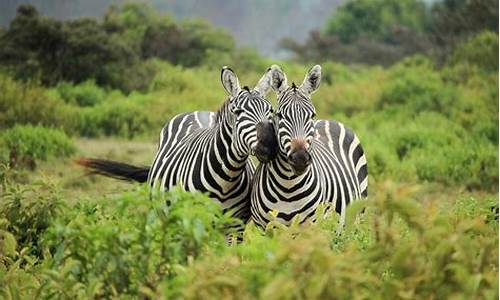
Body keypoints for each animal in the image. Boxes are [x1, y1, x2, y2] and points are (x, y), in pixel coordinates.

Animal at [80, 67, 280, 221]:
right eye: (238, 112)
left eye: (270, 110)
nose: (269, 145)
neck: (226, 178)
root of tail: (198, 111)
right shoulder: (194, 218)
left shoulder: (235, 224)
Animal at [252, 63, 366, 227]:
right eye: (279, 115)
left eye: (312, 115)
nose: (300, 158)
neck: (288, 187)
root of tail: (330, 121)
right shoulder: (263, 227)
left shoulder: (311, 225)